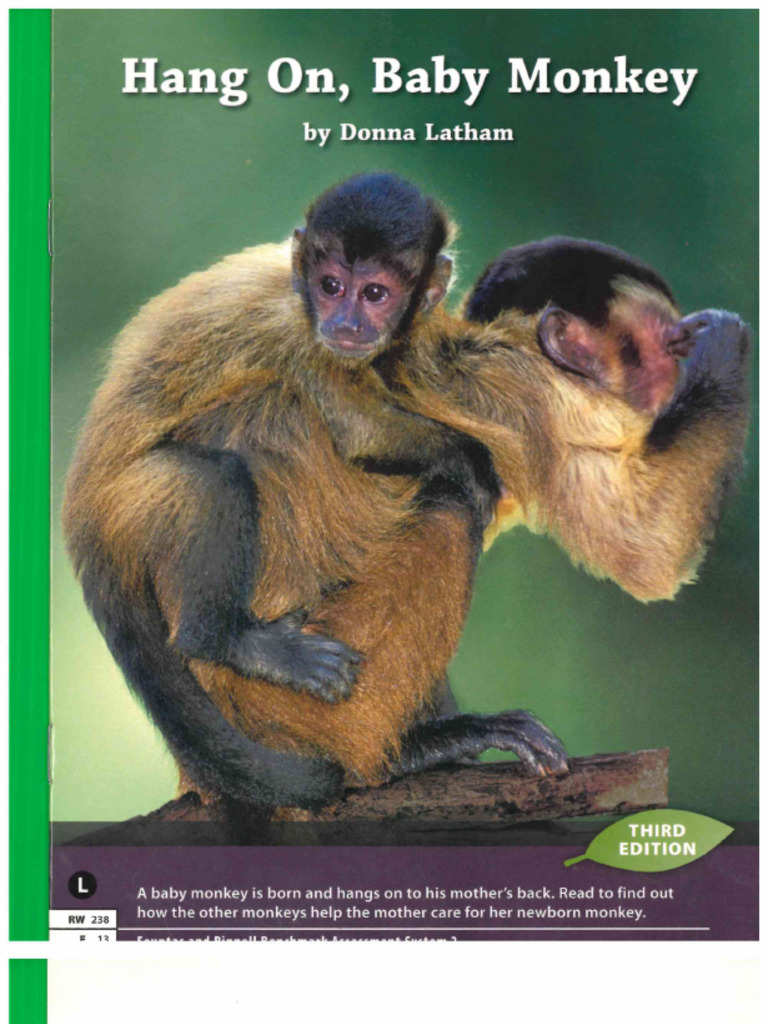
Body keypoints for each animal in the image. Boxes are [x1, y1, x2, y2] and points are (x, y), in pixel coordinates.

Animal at [64, 173, 573, 817]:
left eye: (375, 293)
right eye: (331, 286)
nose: (346, 323)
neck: (301, 297)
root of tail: (80, 511)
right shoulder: (302, 338)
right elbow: (362, 433)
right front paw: (475, 465)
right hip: (132, 500)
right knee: (214, 478)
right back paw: (230, 643)